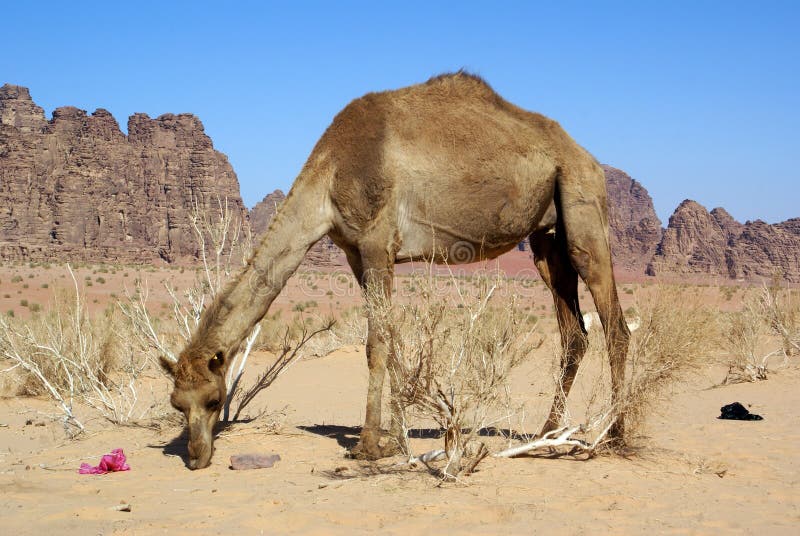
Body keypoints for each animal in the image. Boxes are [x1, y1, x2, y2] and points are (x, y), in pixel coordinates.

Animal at [160, 72, 631, 469]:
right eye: (176, 403)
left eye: (213, 399)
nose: (195, 456)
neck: (329, 177)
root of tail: (587, 158)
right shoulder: (356, 254)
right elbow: (391, 339)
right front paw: (399, 435)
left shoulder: (376, 244)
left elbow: (375, 345)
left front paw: (368, 445)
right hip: (546, 236)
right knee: (573, 332)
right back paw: (548, 435)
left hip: (582, 203)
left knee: (615, 324)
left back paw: (613, 436)